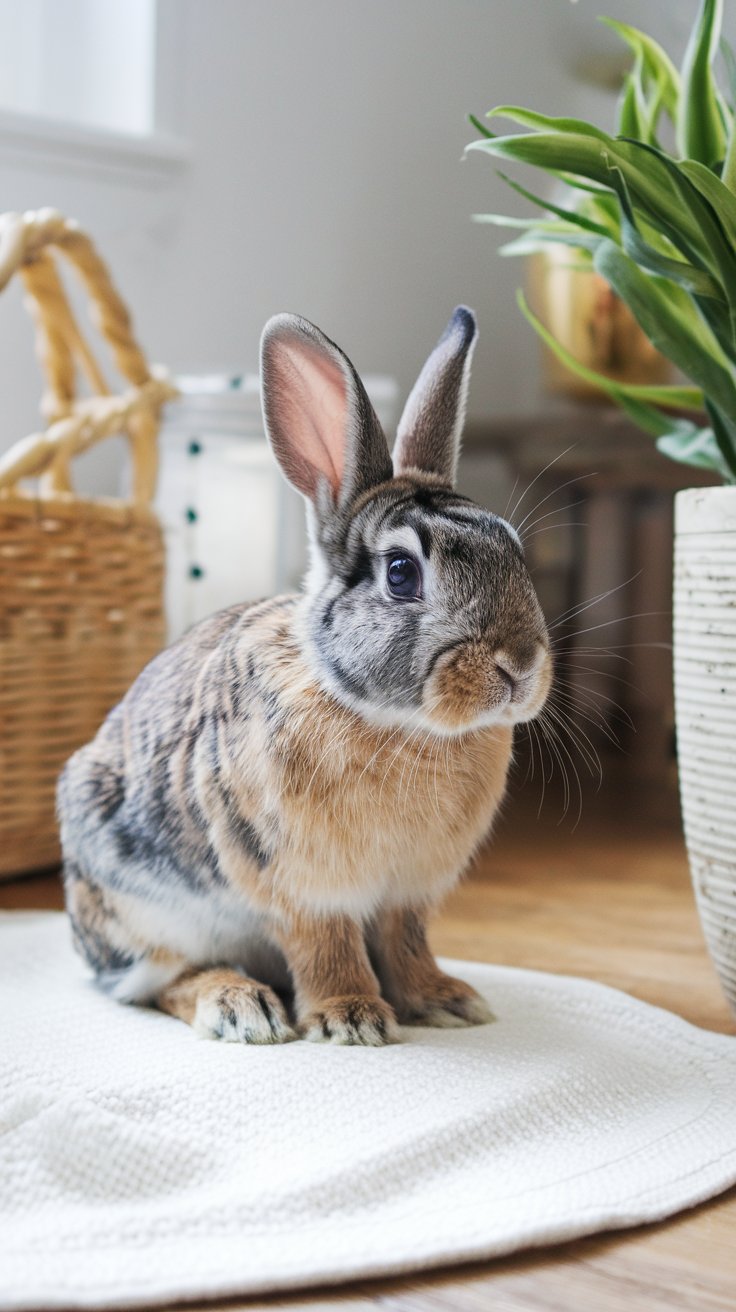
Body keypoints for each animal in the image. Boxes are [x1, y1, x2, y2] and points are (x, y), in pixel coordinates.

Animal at [58, 306, 552, 1047]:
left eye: (514, 549)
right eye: (401, 573)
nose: (519, 667)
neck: (395, 722)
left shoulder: (407, 894)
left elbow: (407, 943)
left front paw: (446, 1000)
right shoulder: (302, 889)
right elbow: (326, 945)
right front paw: (352, 1018)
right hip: (147, 919)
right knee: (156, 985)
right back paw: (243, 1007)